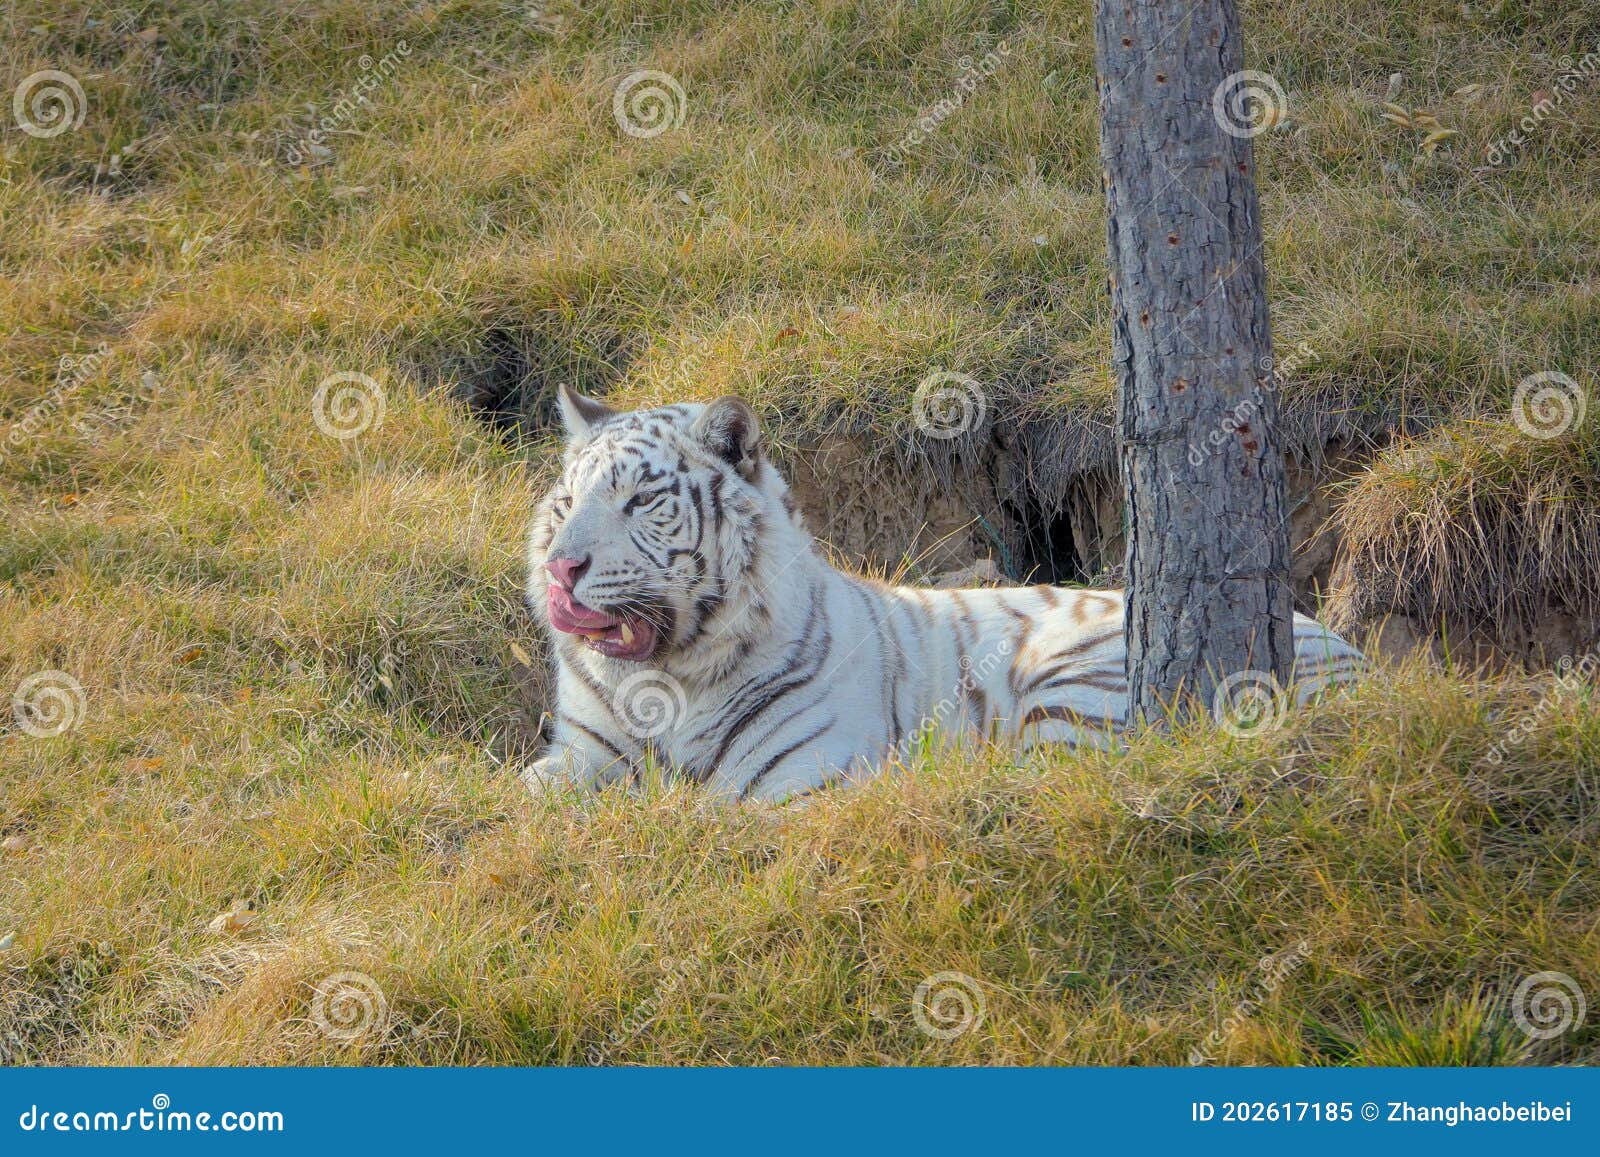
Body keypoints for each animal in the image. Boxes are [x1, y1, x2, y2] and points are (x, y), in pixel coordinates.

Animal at [524, 384, 1363, 803]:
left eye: (639, 501)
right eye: (568, 502)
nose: (563, 568)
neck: (664, 677)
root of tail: (1363, 662)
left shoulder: (798, 777)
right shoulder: (580, 755)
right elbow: (520, 797)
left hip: (1076, 684)